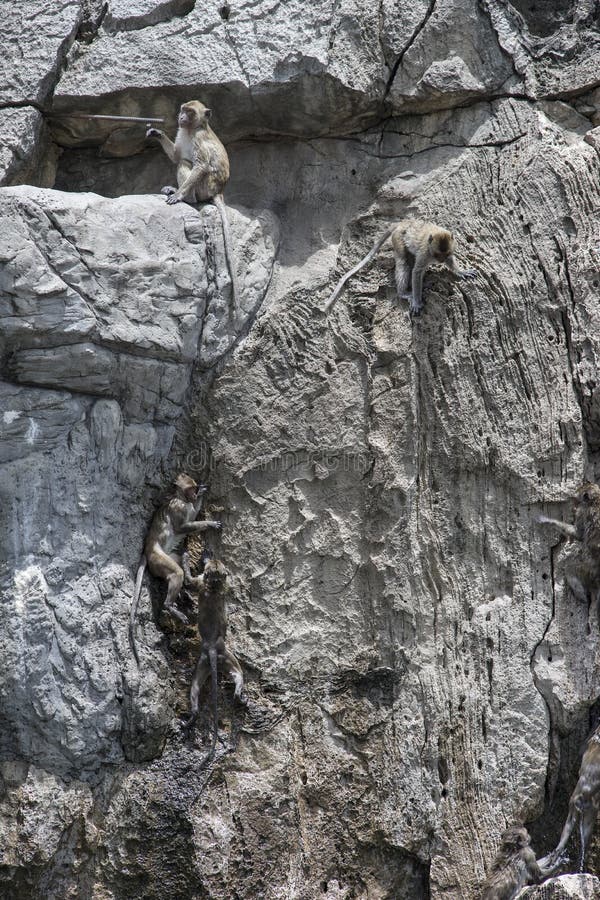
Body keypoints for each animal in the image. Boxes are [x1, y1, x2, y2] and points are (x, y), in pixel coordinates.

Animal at [129, 473, 222, 665]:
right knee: (176, 572)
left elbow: (192, 514)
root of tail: (147, 551)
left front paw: (202, 494)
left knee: (180, 560)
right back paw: (170, 605)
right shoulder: (179, 507)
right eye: (190, 489)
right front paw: (209, 523)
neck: (180, 497)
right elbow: (182, 526)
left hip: (168, 556)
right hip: (158, 560)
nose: (194, 494)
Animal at [146, 100, 239, 304]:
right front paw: (157, 132)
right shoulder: (182, 132)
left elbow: (200, 166)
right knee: (182, 159)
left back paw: (186, 197)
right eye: (183, 110)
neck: (192, 129)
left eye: (189, 112)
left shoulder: (199, 139)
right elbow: (175, 155)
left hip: (204, 188)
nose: (181, 117)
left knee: (186, 163)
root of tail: (219, 191)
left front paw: (179, 194)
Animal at [182, 552, 246, 757]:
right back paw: (238, 695)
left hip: (207, 659)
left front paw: (186, 559)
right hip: (222, 658)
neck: (215, 585)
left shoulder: (199, 581)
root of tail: (212, 648)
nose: (213, 559)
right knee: (236, 675)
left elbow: (188, 579)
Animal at [324, 218, 476, 315]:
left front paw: (460, 271)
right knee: (404, 262)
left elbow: (450, 261)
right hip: (397, 238)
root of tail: (402, 224)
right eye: (437, 254)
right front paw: (416, 301)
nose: (440, 261)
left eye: (445, 254)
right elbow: (416, 272)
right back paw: (403, 293)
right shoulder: (425, 253)